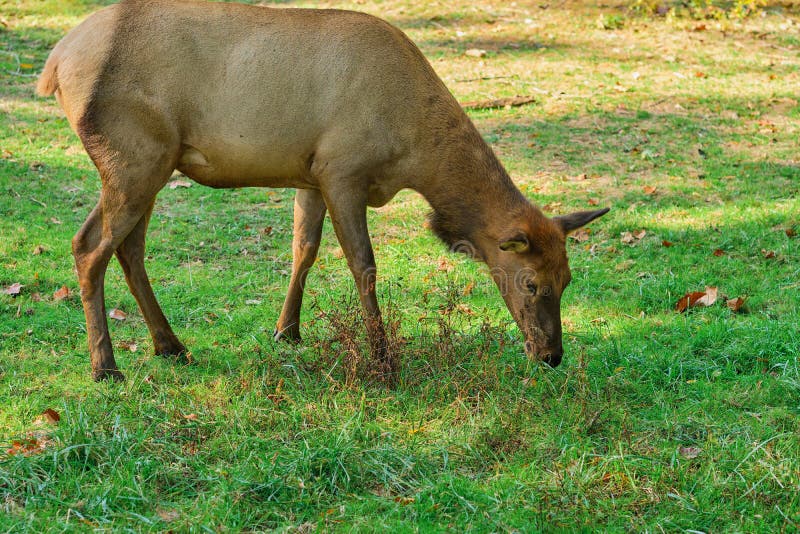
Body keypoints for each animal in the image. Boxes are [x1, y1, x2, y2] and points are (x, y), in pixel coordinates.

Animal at [37, 0, 609, 382]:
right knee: (89, 246)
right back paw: (105, 366)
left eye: (568, 279)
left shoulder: (308, 172)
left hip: (152, 163)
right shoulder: (341, 168)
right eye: (532, 283)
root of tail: (55, 64)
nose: (551, 356)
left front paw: (286, 330)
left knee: (129, 248)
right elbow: (363, 263)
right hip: (133, 156)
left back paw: (170, 345)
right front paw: (382, 357)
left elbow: (304, 249)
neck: (415, 154)